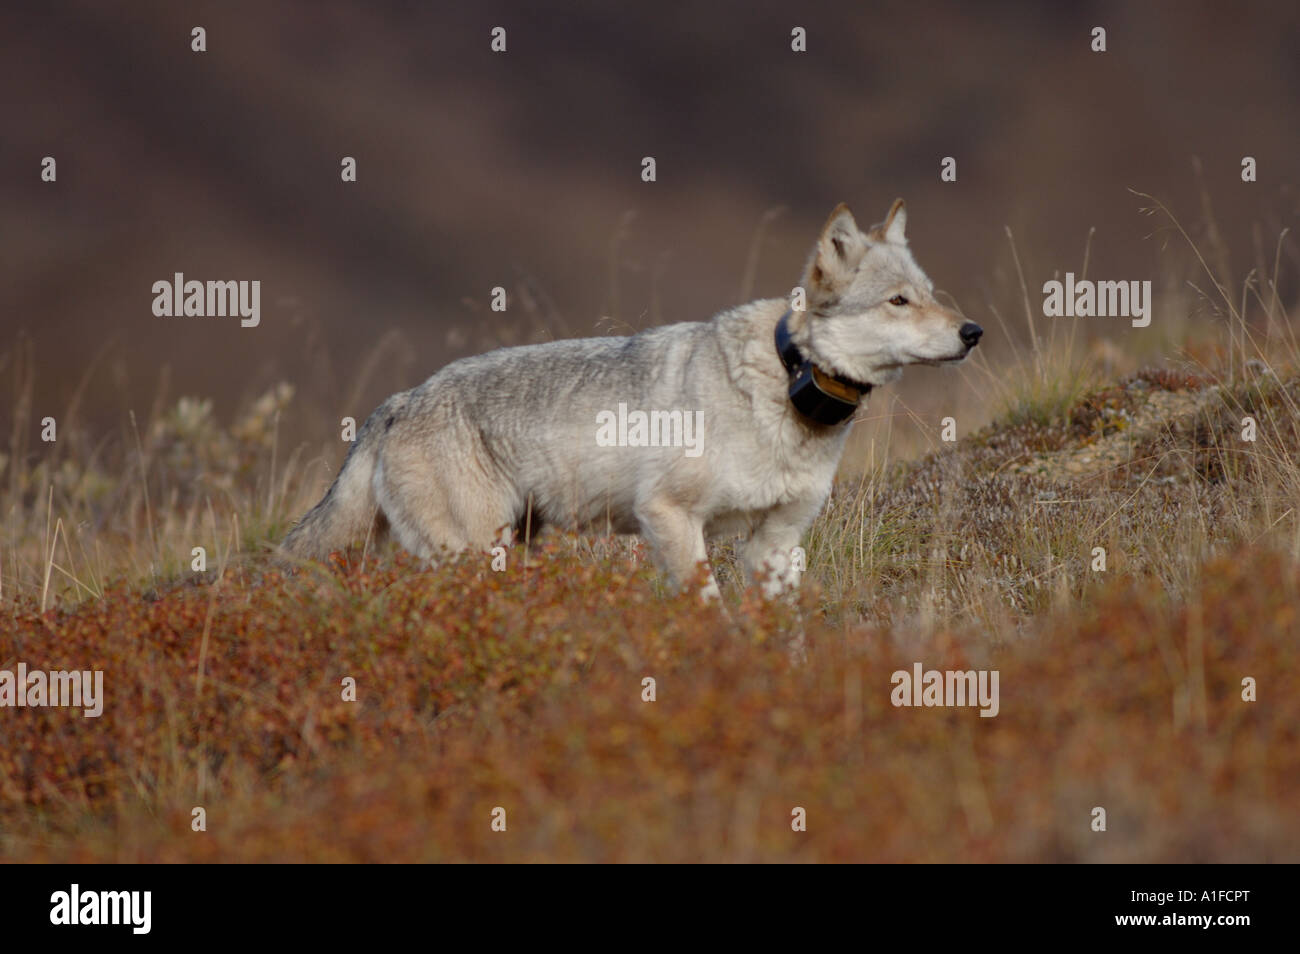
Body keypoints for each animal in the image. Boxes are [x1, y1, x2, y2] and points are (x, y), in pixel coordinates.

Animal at [282, 200, 981, 598]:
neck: (784, 382)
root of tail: (397, 401)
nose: (972, 332)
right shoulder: (668, 517)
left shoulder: (775, 542)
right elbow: (709, 611)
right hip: (480, 555)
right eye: (898, 301)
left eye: (930, 293)